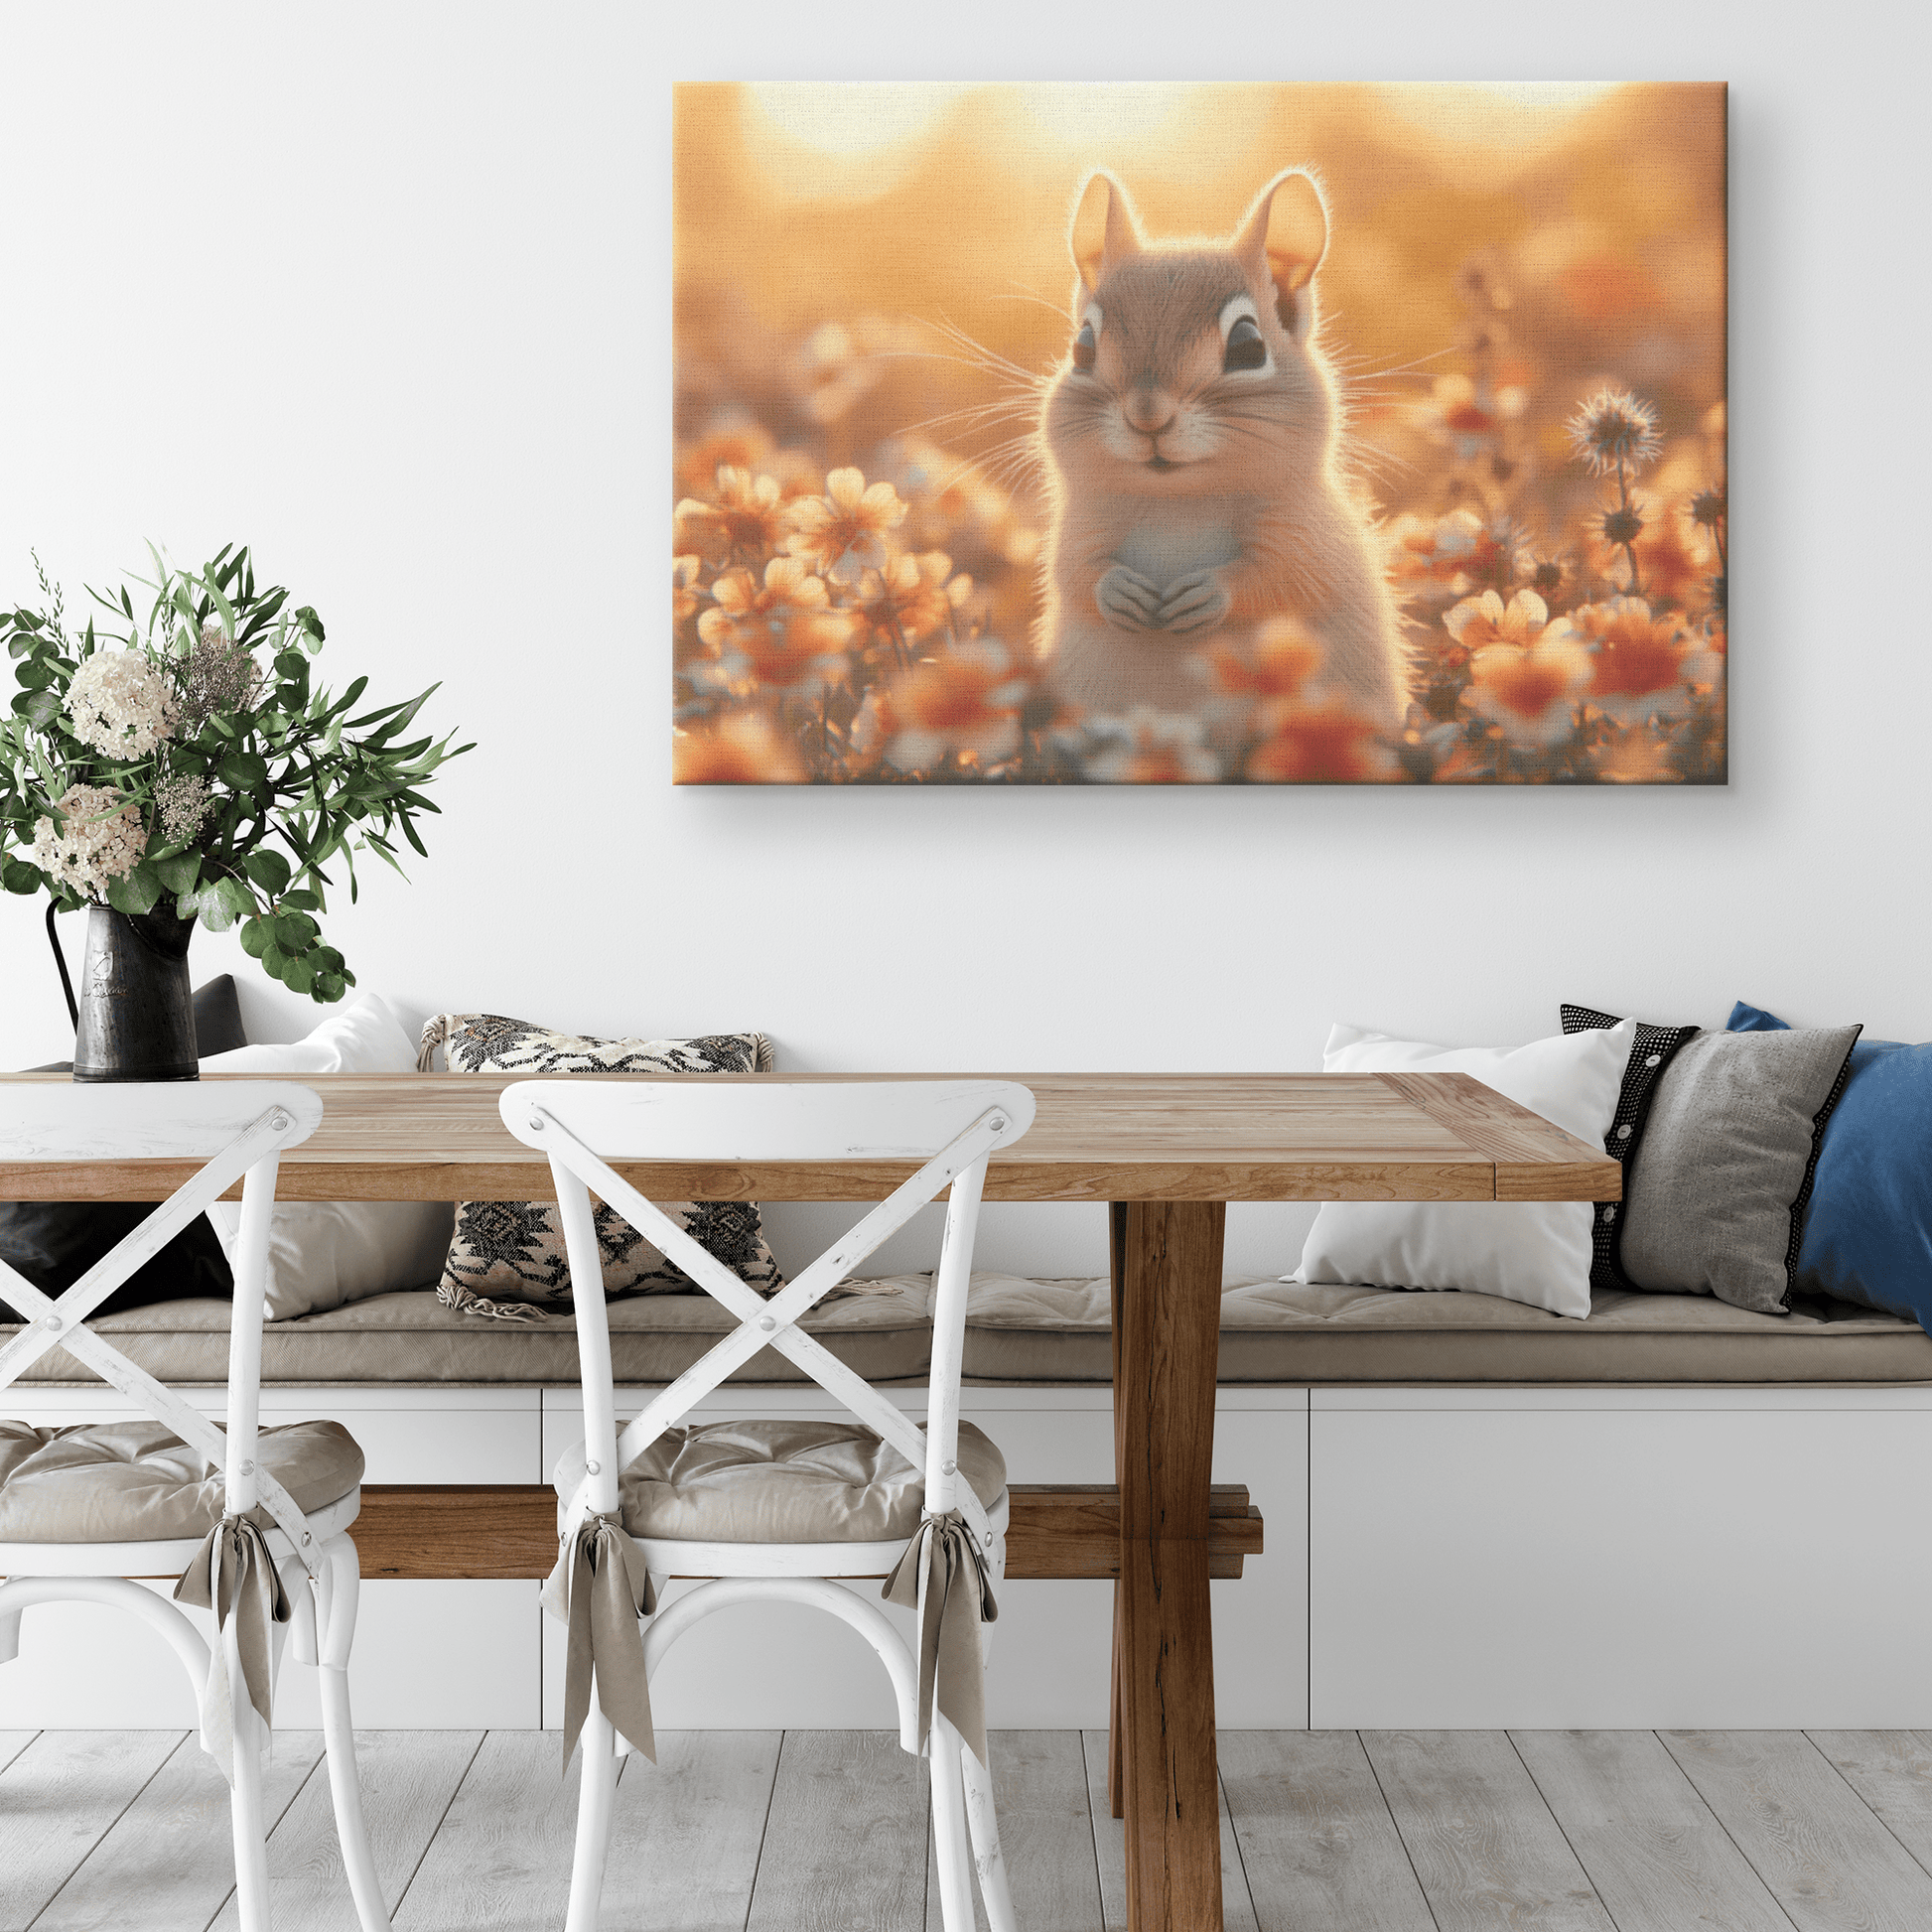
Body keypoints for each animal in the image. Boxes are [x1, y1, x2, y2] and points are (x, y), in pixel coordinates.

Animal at [1036, 168, 1410, 725]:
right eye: (1083, 347)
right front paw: (1118, 591)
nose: (1147, 415)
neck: (1180, 502)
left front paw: (1209, 594)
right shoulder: (1079, 527)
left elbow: (1280, 578)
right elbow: (1074, 572)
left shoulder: (1307, 536)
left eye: (1248, 346)